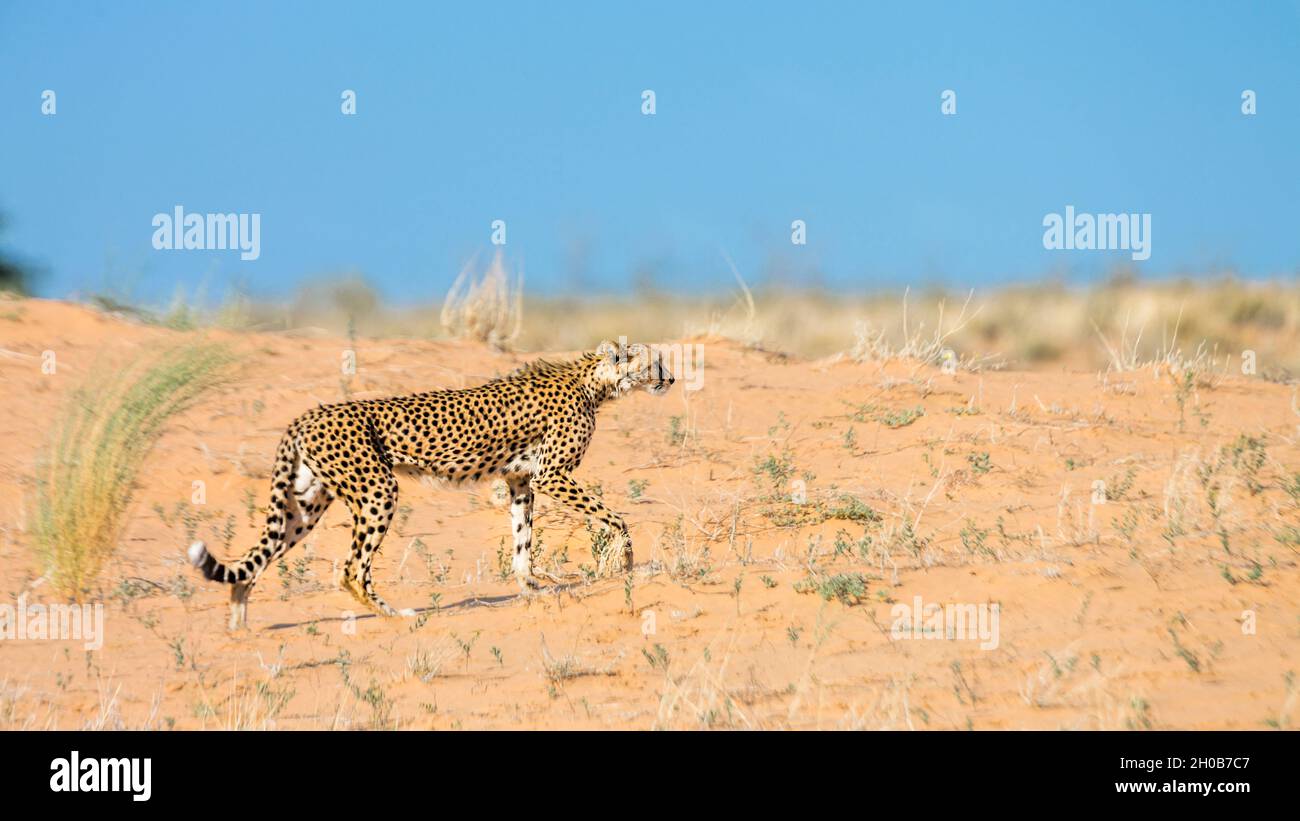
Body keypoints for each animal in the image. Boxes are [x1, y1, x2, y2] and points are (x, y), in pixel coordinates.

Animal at [188, 339, 674, 629]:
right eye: (654, 362)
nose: (670, 378)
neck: (593, 380)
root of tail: (309, 414)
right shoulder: (551, 474)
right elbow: (614, 517)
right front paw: (624, 559)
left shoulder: (521, 480)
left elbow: (522, 539)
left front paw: (531, 585)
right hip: (377, 491)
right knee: (350, 569)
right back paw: (395, 615)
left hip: (305, 503)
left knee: (254, 559)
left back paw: (239, 623)